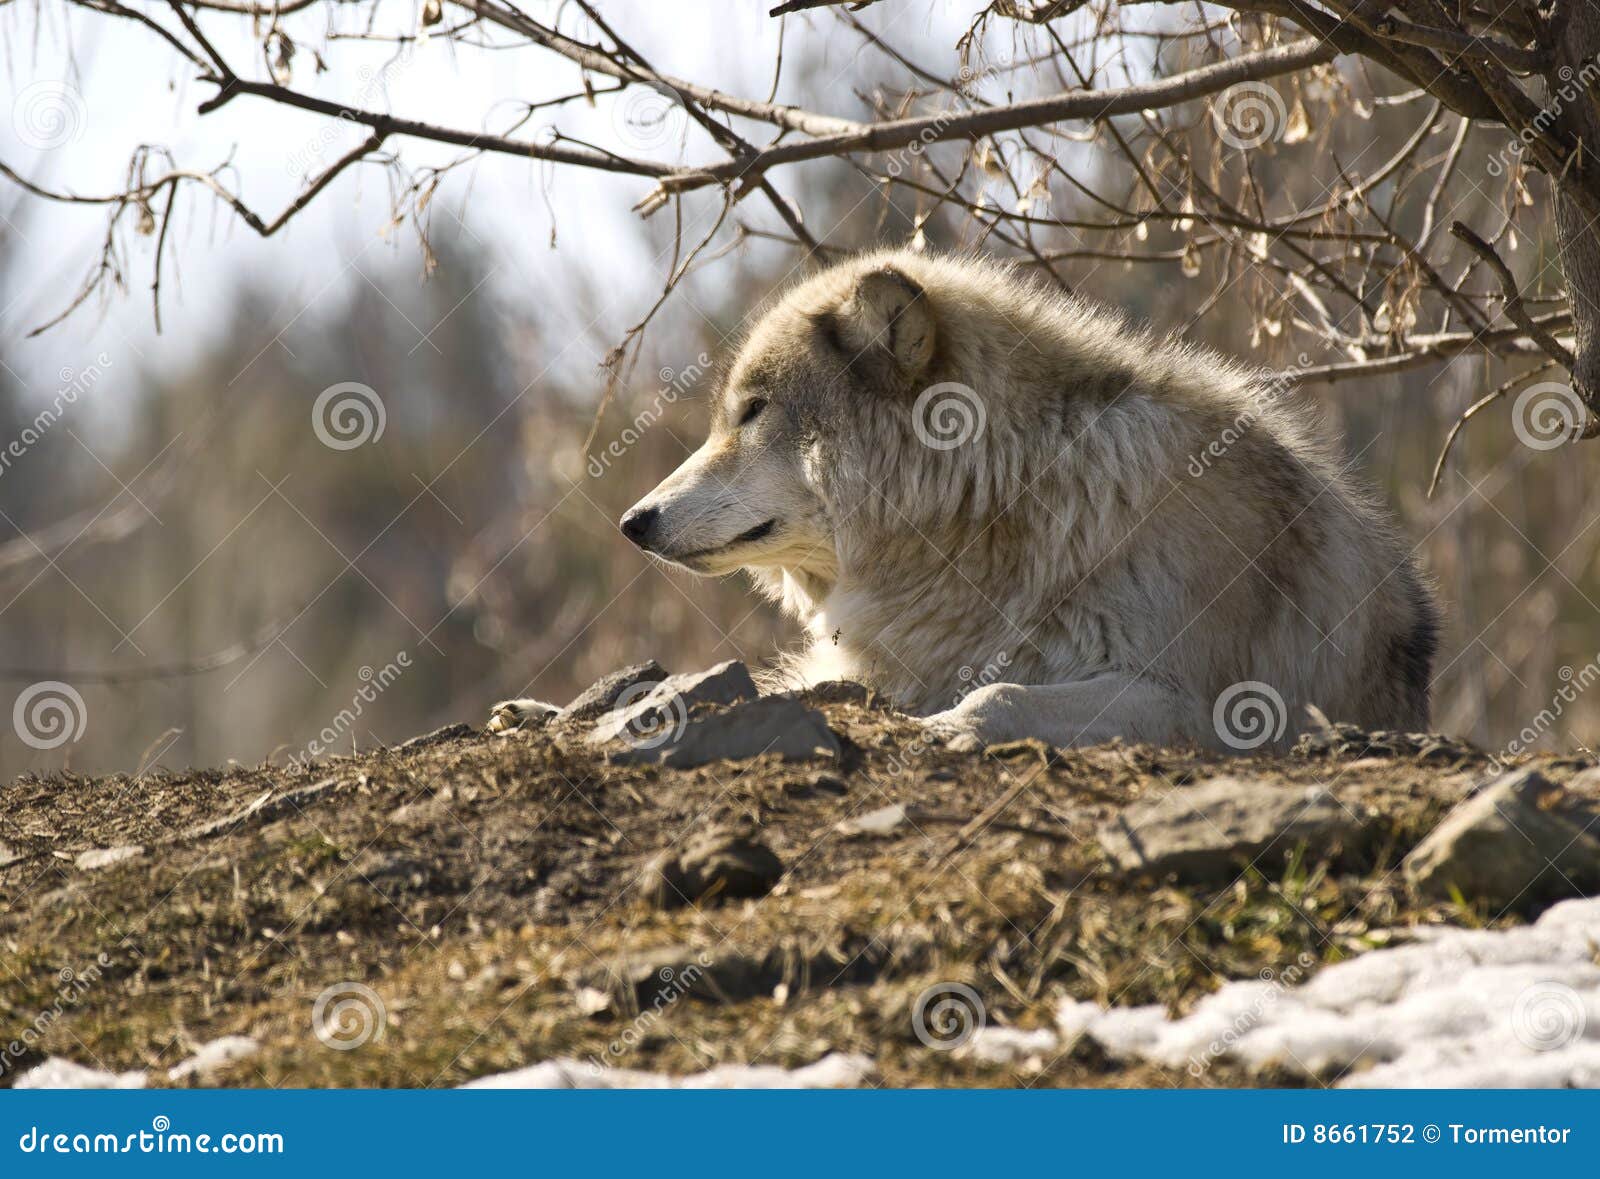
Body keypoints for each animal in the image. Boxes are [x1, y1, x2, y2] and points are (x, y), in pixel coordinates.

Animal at [492, 250, 1437, 752]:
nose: (632, 521)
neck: (1005, 504)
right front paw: (550, 709)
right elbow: (758, 682)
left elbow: (999, 695)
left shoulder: (1202, 704)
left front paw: (946, 727)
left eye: (752, 412)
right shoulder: (883, 664)